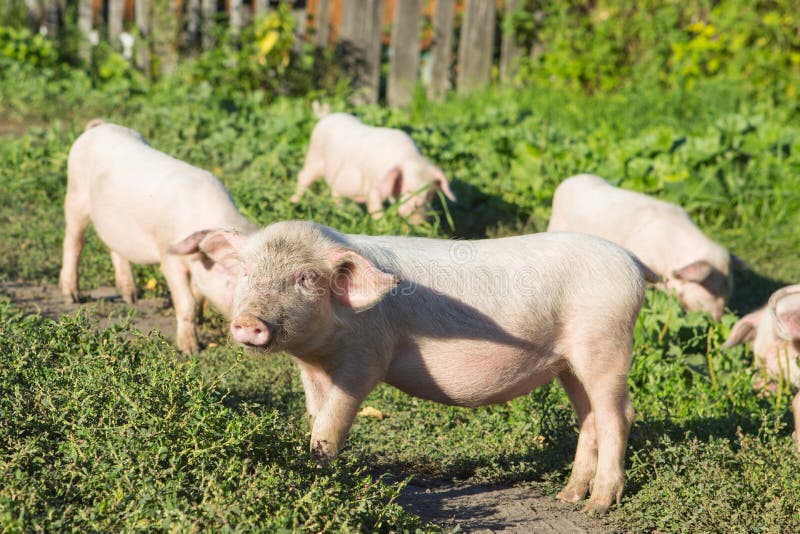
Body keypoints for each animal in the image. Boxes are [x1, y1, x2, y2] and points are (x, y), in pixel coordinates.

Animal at [58, 119, 256, 353]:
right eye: (233, 273)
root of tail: (98, 126)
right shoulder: (169, 256)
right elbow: (186, 303)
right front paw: (191, 350)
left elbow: (197, 295)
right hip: (74, 195)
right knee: (73, 242)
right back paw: (72, 297)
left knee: (114, 248)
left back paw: (131, 297)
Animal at [169, 220, 656, 514]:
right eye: (247, 271)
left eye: (306, 278)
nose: (249, 322)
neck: (325, 345)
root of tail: (632, 263)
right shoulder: (311, 369)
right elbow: (315, 414)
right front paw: (313, 467)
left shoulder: (367, 357)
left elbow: (334, 422)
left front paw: (319, 473)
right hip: (568, 363)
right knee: (588, 417)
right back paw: (567, 496)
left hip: (607, 343)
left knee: (619, 415)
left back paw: (598, 505)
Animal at [290, 104, 456, 224]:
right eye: (407, 189)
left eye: (430, 193)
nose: (419, 217)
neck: (409, 159)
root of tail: (326, 116)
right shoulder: (374, 185)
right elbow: (375, 208)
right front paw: (382, 226)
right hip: (315, 156)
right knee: (303, 176)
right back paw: (294, 200)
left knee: (334, 192)